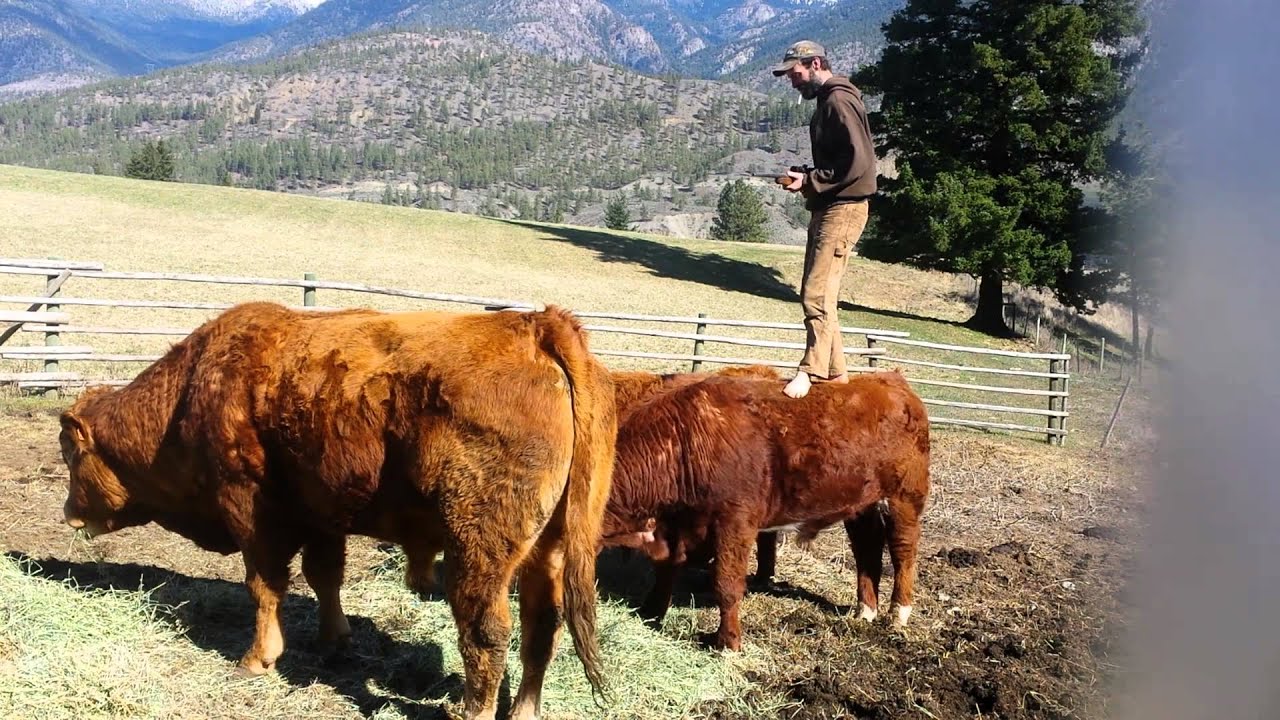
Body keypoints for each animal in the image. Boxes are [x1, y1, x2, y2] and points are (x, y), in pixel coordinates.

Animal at [57, 300, 617, 720]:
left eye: (71, 452)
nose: (69, 514)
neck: (195, 386)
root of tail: (535, 326)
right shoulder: (322, 512)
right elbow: (324, 575)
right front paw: (334, 641)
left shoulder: (251, 509)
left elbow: (265, 585)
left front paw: (256, 659)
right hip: (548, 550)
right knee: (541, 628)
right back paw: (524, 710)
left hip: (478, 551)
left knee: (486, 632)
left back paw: (471, 711)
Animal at [597, 370, 930, 651]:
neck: (684, 442)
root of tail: (893, 381)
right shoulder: (677, 525)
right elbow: (666, 569)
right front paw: (650, 612)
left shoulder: (735, 522)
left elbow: (727, 583)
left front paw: (727, 643)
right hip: (861, 504)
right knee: (867, 547)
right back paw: (866, 610)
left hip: (905, 497)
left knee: (903, 550)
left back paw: (898, 612)